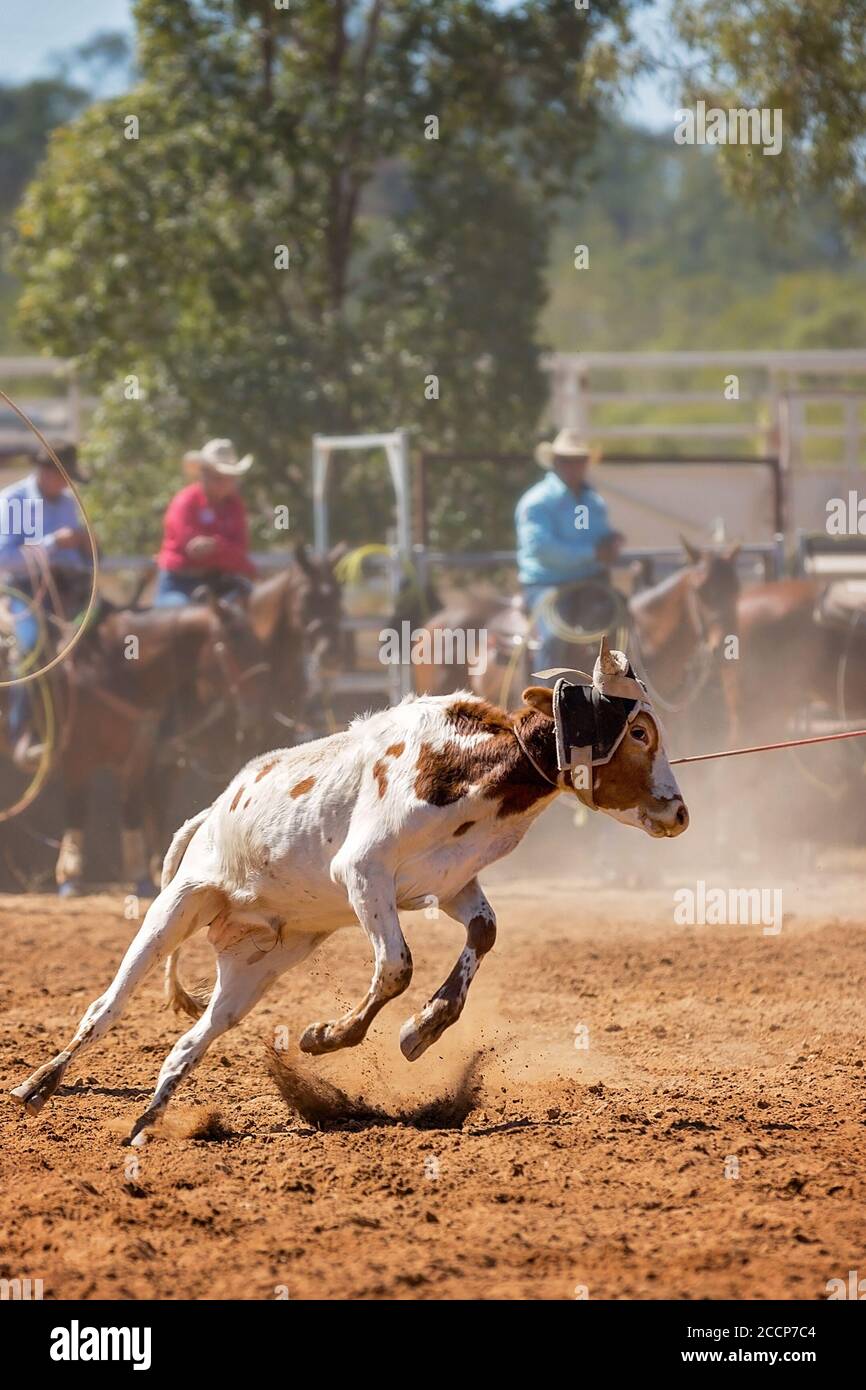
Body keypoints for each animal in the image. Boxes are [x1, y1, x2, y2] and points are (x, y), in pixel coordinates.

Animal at [11, 638, 688, 1145]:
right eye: (639, 734)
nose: (678, 812)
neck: (469, 767)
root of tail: (210, 812)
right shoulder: (363, 874)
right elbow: (396, 966)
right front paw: (327, 1037)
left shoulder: (452, 886)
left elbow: (483, 932)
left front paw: (424, 1028)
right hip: (179, 904)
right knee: (107, 1007)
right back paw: (38, 1087)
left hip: (258, 965)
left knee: (191, 1041)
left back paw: (146, 1122)